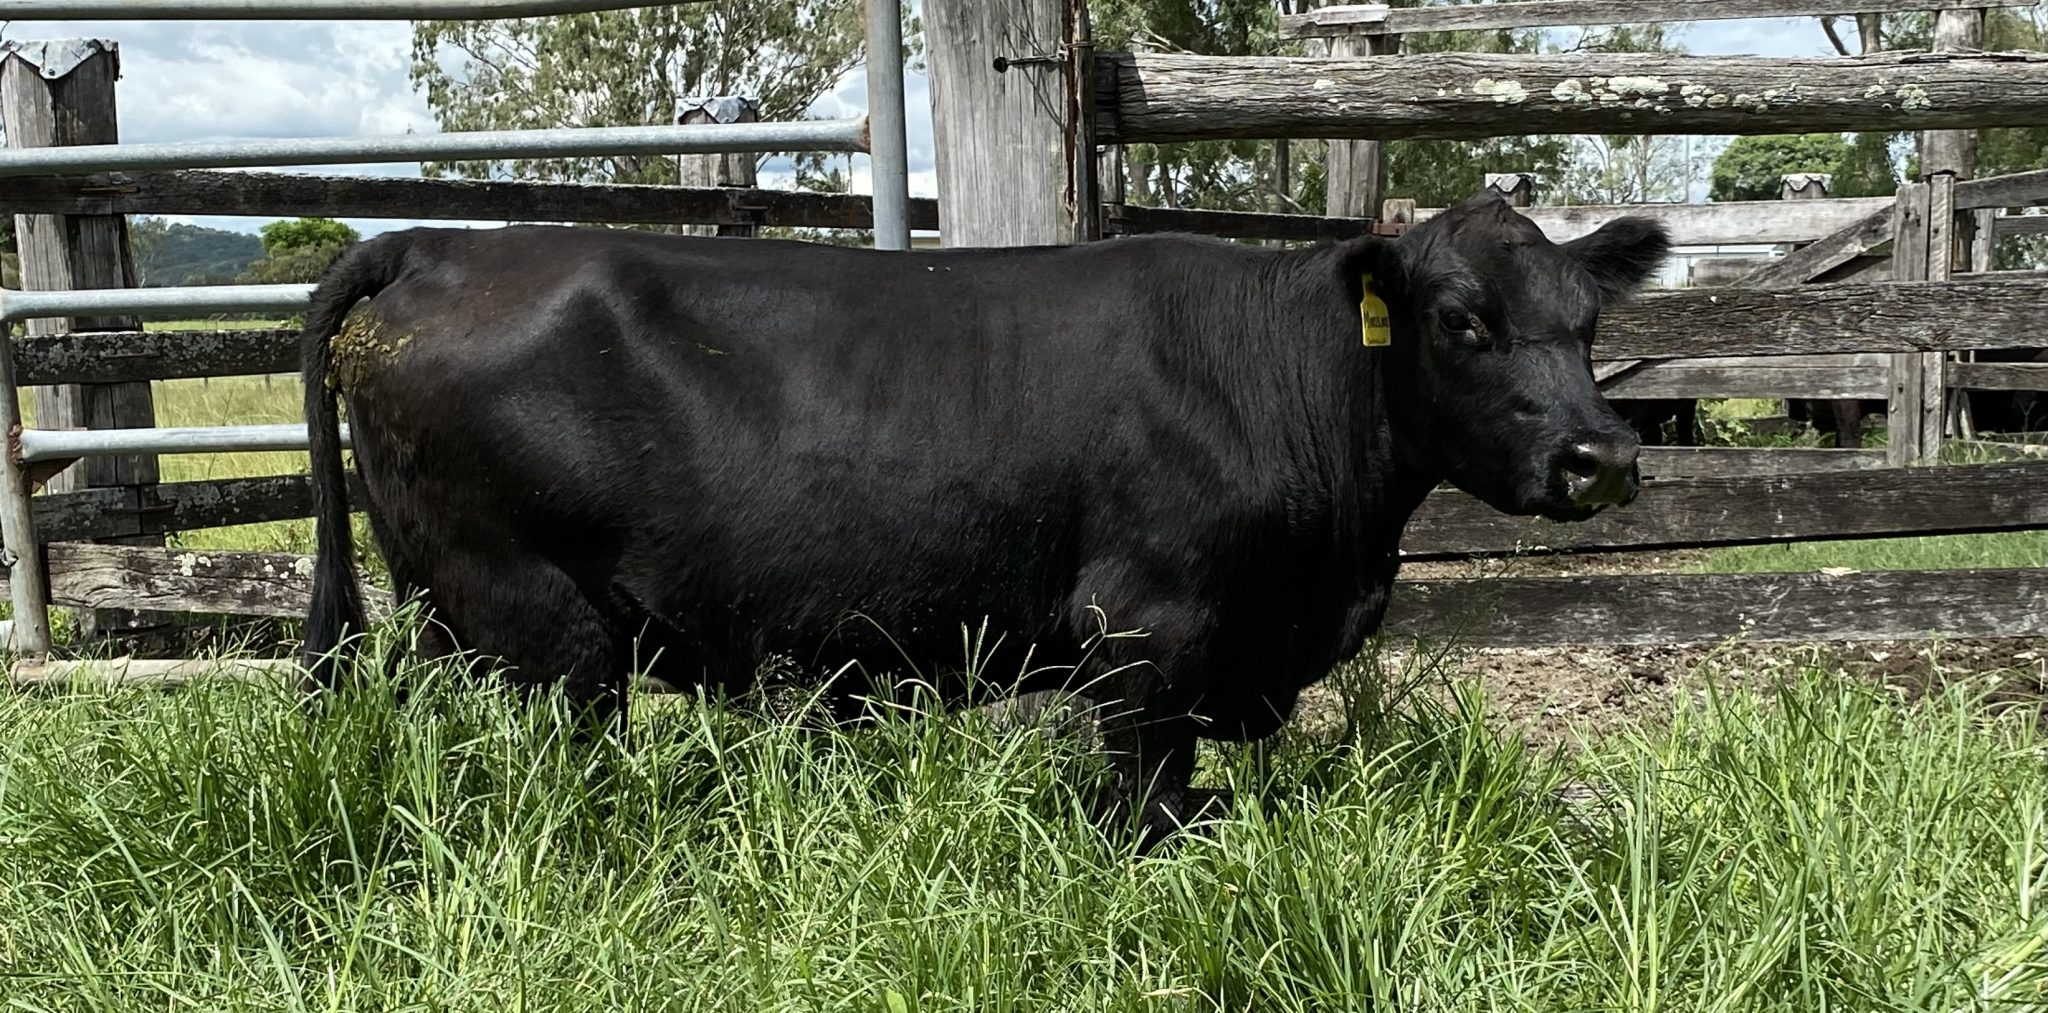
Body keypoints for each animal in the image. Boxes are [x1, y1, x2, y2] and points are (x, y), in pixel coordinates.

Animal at [296, 191, 1670, 848]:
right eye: (1461, 321)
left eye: (1587, 321)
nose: (1599, 456)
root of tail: (440, 244)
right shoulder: (1145, 629)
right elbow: (1149, 806)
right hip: (535, 617)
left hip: (448, 608)